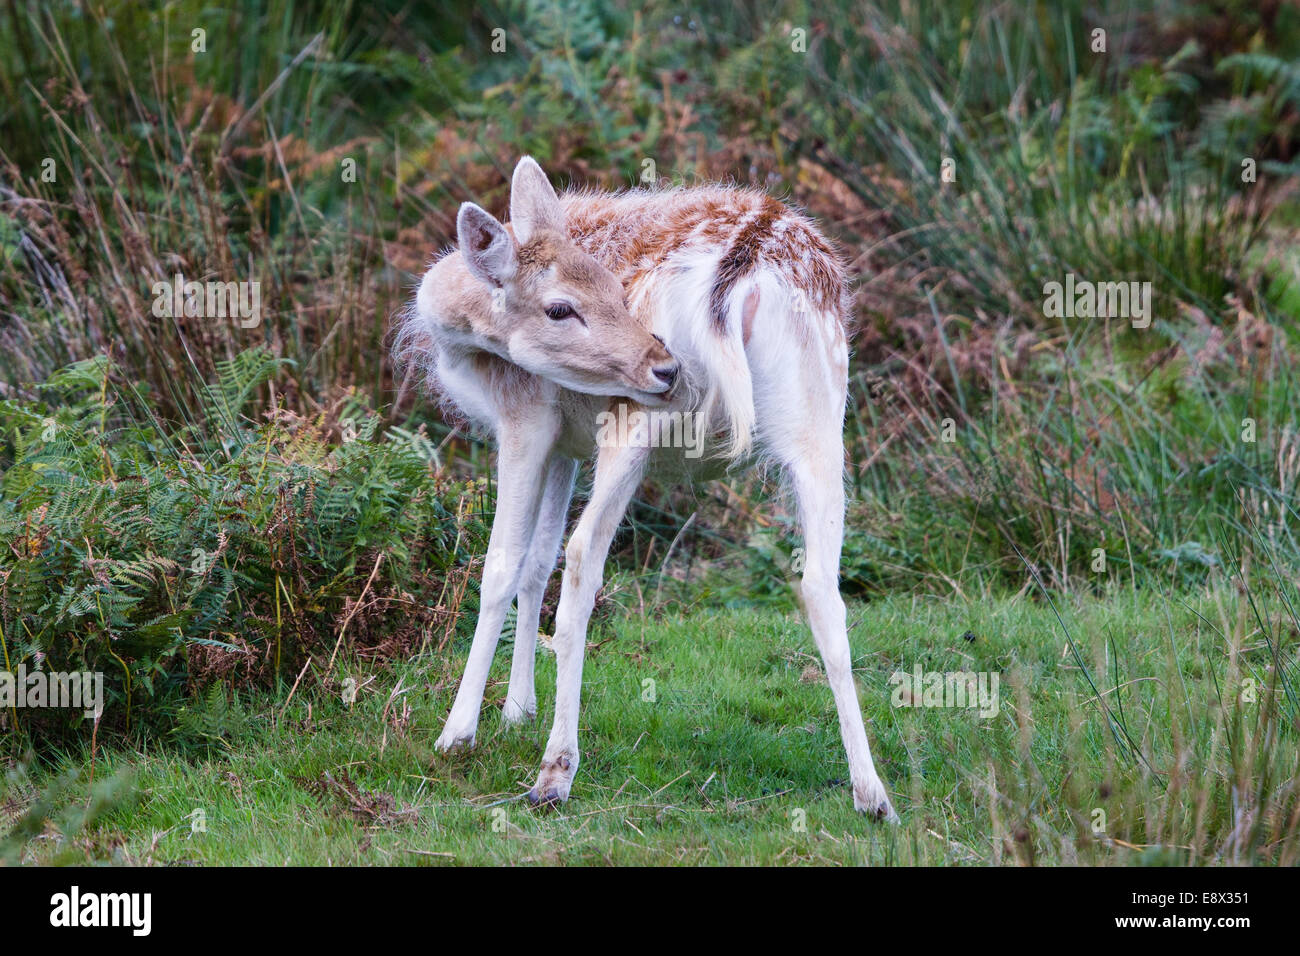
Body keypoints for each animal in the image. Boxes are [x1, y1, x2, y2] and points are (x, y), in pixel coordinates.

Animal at [395, 156, 896, 821]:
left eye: (607, 294)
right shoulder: (567, 442)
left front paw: (460, 733)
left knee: (584, 557)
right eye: (566, 306)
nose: (659, 360)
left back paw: (554, 773)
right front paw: (516, 711)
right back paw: (873, 795)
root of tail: (745, 266)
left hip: (637, 415)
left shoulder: (525, 416)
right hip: (822, 409)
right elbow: (535, 564)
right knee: (820, 581)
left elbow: (504, 565)